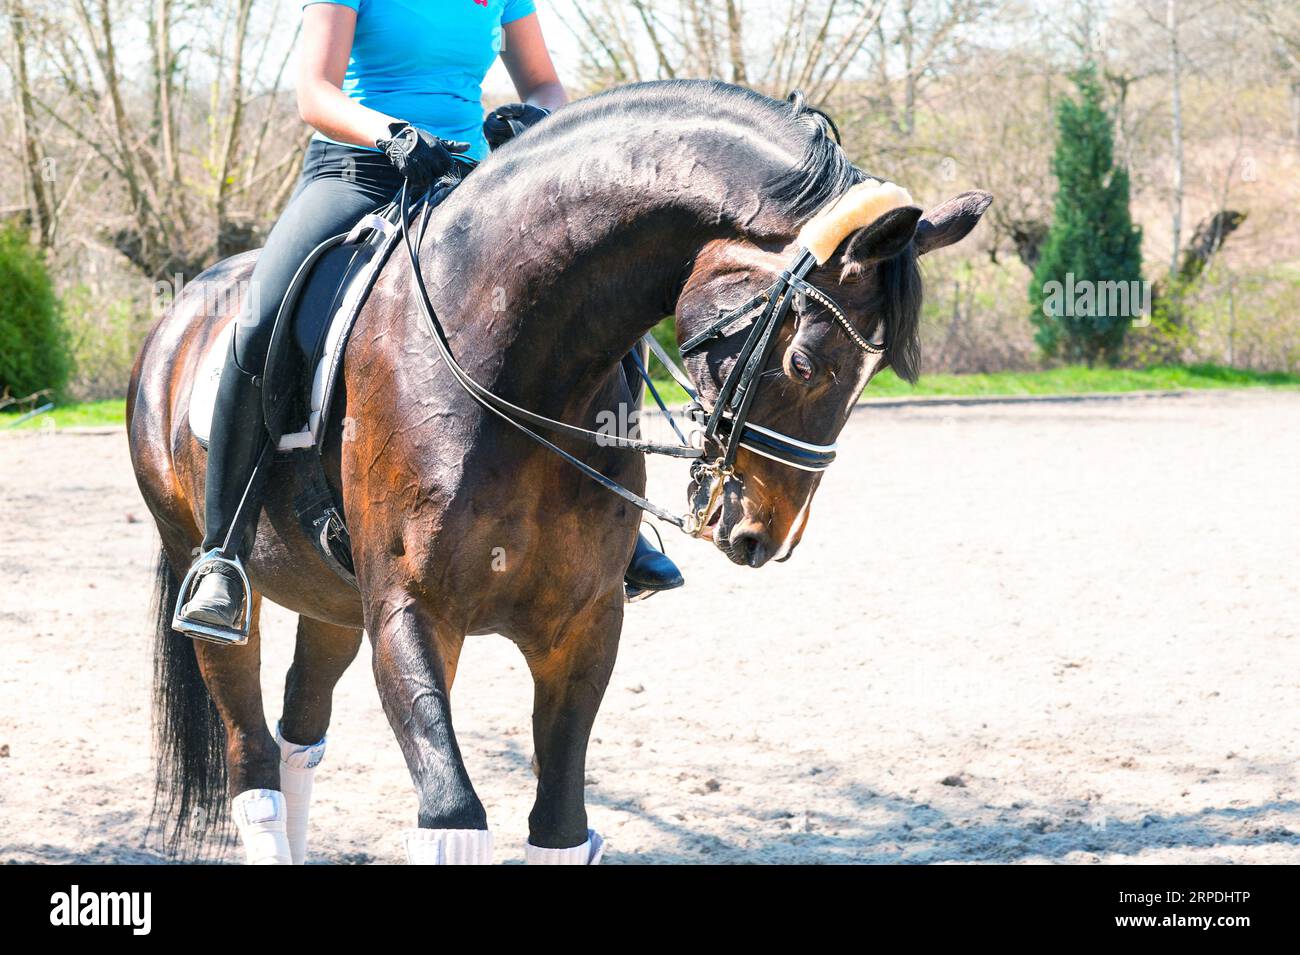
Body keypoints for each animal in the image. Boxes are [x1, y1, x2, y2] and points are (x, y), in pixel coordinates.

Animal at [128, 79, 990, 864]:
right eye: (806, 361)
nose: (765, 533)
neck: (512, 363)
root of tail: (185, 310)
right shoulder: (410, 611)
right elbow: (454, 813)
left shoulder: (583, 625)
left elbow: (561, 824)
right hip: (214, 575)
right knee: (253, 758)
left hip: (331, 600)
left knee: (299, 734)